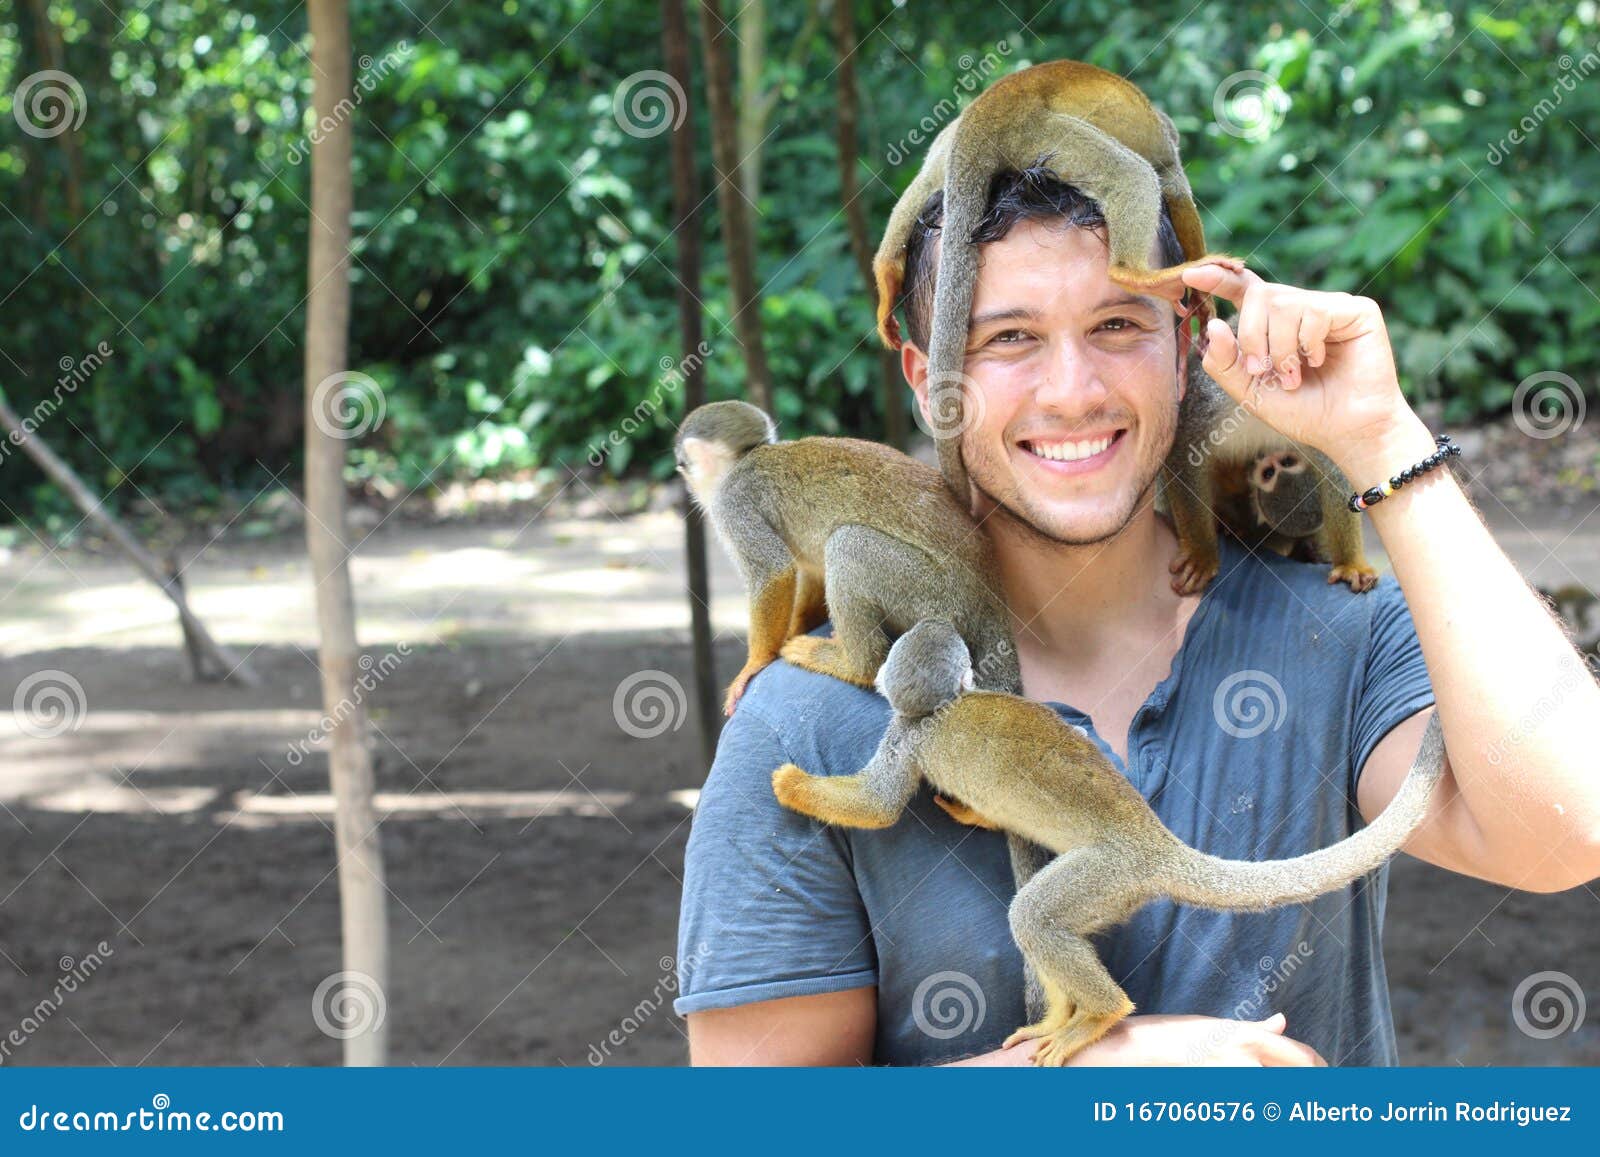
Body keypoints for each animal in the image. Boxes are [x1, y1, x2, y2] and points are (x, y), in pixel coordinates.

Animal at [771, 619, 1447, 1065]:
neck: (938, 705)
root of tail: (1155, 842)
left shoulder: (906, 734)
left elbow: (878, 807)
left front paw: (790, 783)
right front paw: (974, 813)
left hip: (1108, 873)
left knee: (1035, 916)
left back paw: (1100, 1013)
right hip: (1113, 889)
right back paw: (1061, 1015)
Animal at [870, 59, 1245, 505]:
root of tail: (993, 104)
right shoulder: (1169, 153)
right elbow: (1174, 186)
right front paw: (1205, 298)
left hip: (957, 142)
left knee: (928, 179)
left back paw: (886, 269)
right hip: (1046, 134)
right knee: (1132, 174)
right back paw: (1131, 270)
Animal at [1162, 360, 1377, 595]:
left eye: (1286, 462)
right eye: (1268, 472)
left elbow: (1333, 471)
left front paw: (1350, 564)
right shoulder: (1210, 396)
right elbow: (1185, 451)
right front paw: (1200, 553)